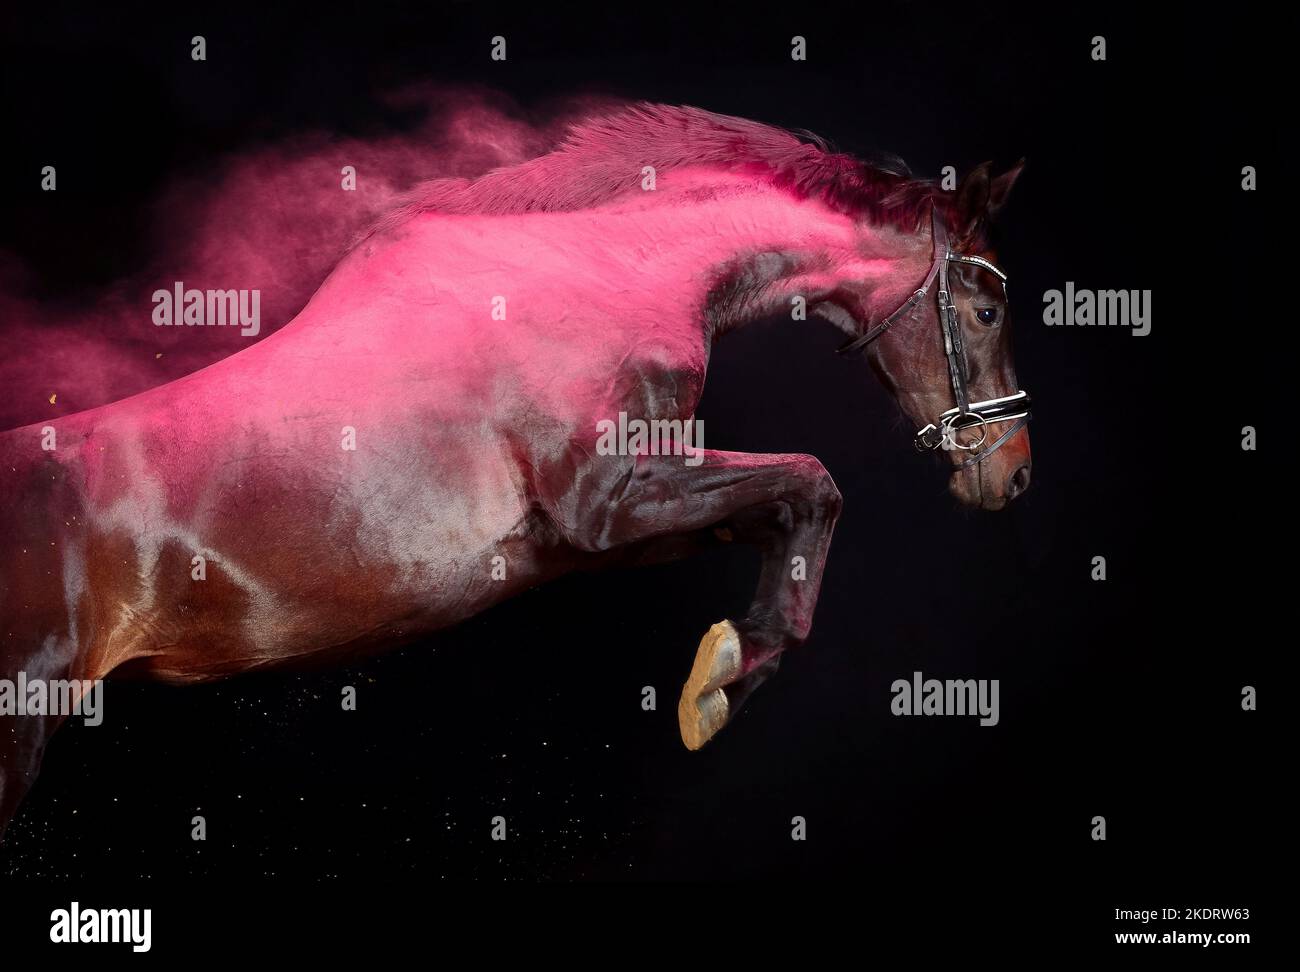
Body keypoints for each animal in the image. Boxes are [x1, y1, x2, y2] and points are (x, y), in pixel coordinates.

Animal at [0, 104, 1030, 839]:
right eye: (985, 309)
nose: (1011, 474)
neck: (604, 271)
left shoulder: (599, 538)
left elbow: (788, 509)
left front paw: (732, 666)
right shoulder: (607, 504)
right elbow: (814, 481)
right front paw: (723, 677)